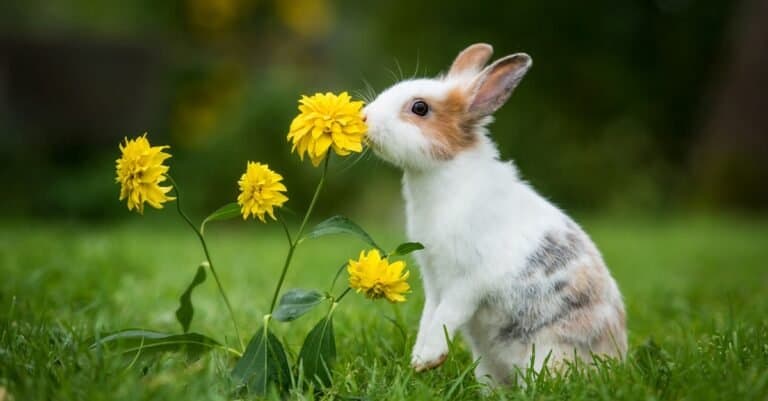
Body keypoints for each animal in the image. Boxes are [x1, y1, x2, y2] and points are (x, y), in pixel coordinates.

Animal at [362, 43, 627, 386]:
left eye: (419, 108)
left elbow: (446, 315)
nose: (364, 117)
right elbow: (429, 315)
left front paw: (427, 359)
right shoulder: (434, 280)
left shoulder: (468, 281)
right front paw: (419, 360)